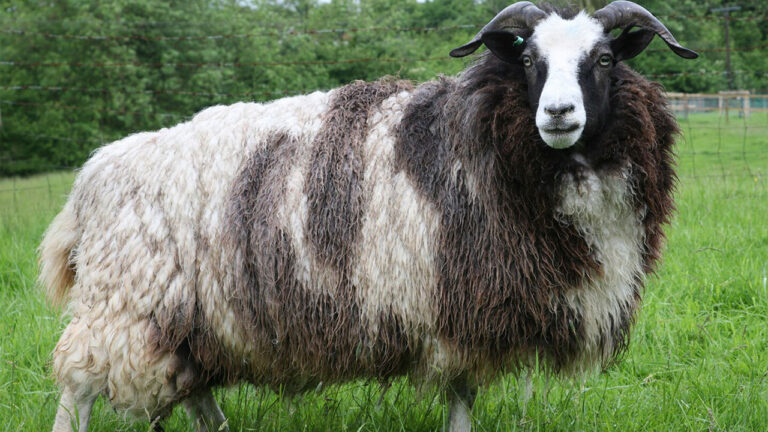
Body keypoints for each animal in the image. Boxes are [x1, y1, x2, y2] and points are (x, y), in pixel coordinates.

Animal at [39, 2, 698, 431]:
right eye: (530, 61)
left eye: (605, 58)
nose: (558, 113)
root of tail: (91, 177)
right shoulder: (457, 299)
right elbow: (461, 395)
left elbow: (461, 395)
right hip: (125, 302)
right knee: (78, 383)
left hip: (195, 314)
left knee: (196, 385)